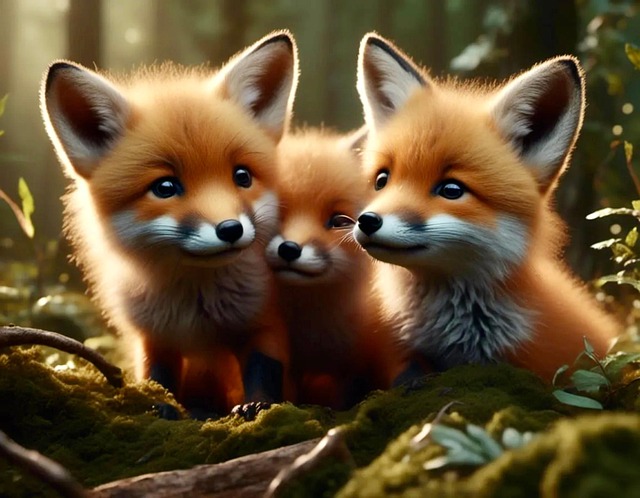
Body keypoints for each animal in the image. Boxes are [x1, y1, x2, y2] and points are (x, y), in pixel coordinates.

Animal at [40, 31, 299, 417]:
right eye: (165, 187)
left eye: (242, 176)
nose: (231, 229)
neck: (197, 309)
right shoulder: (154, 337)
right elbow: (157, 378)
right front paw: (161, 408)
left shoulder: (265, 323)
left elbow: (264, 372)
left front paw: (258, 407)